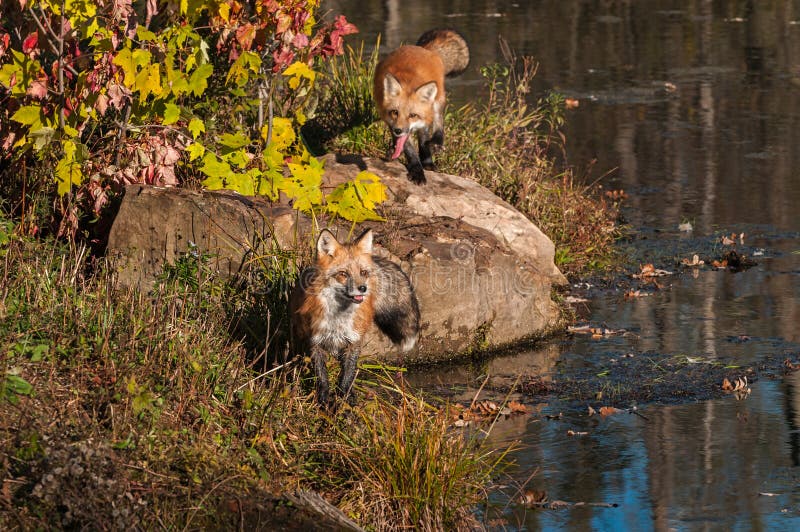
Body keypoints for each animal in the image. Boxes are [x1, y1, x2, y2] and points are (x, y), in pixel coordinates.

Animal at [289, 228, 420, 406]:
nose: (363, 288)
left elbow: (348, 375)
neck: (337, 319)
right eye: (343, 274)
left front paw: (345, 397)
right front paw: (323, 399)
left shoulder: (353, 342)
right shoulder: (315, 342)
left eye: (363, 272)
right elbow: (321, 376)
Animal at [373, 28, 470, 185]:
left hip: (436, 102)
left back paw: (430, 156)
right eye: (395, 112)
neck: (408, 83)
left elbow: (422, 140)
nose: (398, 130)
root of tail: (422, 48)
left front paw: (421, 166)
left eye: (412, 115)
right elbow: (409, 150)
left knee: (434, 128)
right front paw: (416, 169)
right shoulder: (393, 123)